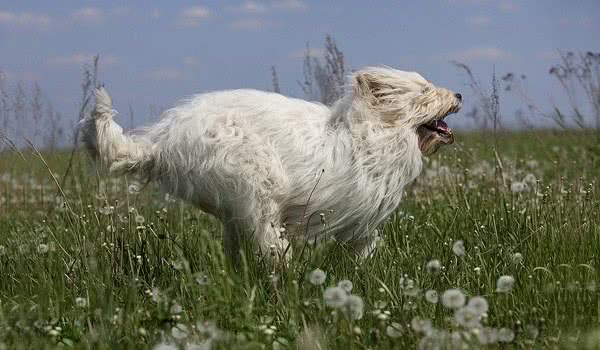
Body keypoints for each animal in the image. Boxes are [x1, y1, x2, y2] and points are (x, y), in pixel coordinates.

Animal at [81, 67, 464, 262]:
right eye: (426, 92)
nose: (459, 94)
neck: (374, 128)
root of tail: (163, 140)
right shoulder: (361, 215)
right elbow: (363, 248)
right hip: (256, 179)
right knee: (267, 234)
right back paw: (284, 265)